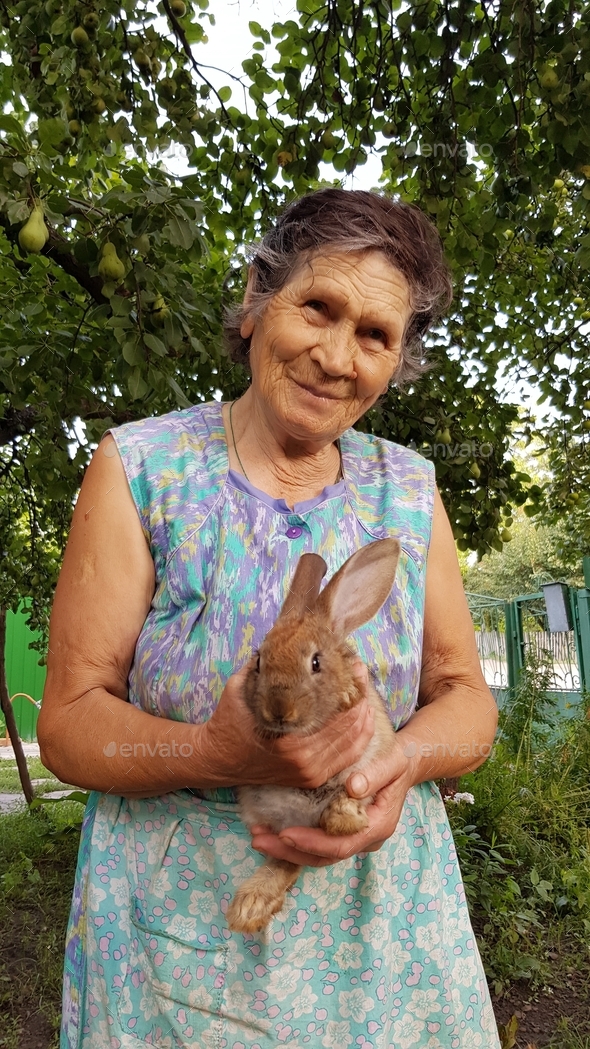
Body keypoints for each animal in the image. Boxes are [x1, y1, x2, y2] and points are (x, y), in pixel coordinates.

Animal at [226, 537, 401, 934]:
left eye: (316, 662)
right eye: (259, 661)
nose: (279, 710)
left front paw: (349, 695)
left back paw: (345, 818)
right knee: (287, 861)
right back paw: (249, 908)